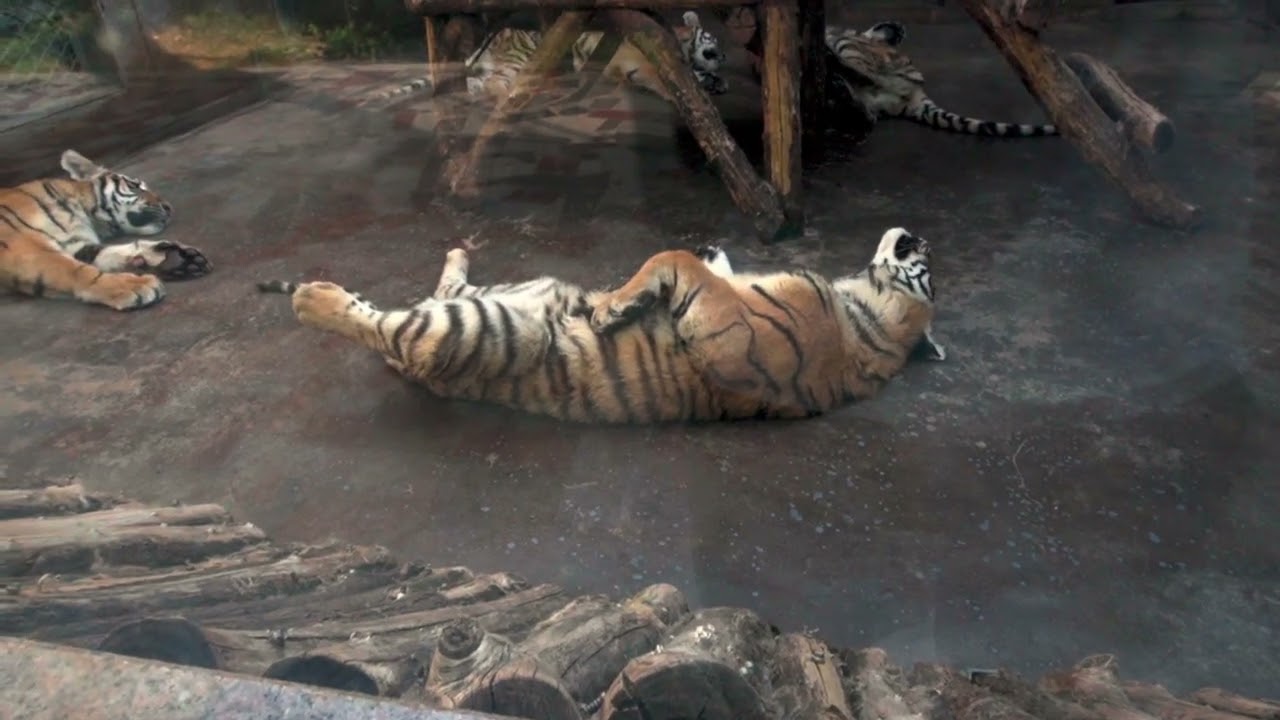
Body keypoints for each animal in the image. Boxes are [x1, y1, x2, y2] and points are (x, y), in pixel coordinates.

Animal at [0, 149, 210, 311]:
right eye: (135, 187)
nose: (168, 207)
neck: (83, 214)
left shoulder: (74, 243)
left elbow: (107, 252)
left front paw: (174, 258)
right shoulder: (20, 246)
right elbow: (78, 270)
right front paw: (134, 286)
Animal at [255, 227, 946, 424]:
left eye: (925, 261)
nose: (914, 234)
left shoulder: (733, 333)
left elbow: (675, 259)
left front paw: (611, 307)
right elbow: (693, 262)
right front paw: (625, 301)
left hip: (482, 328)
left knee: (394, 329)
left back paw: (314, 298)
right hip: (505, 294)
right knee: (442, 289)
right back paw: (458, 251)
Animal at [465, 10, 729, 102]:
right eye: (713, 40)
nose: (724, 56)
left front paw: (717, 83)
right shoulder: (641, 63)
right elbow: (666, 82)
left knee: (480, 81)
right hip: (526, 54)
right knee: (494, 83)